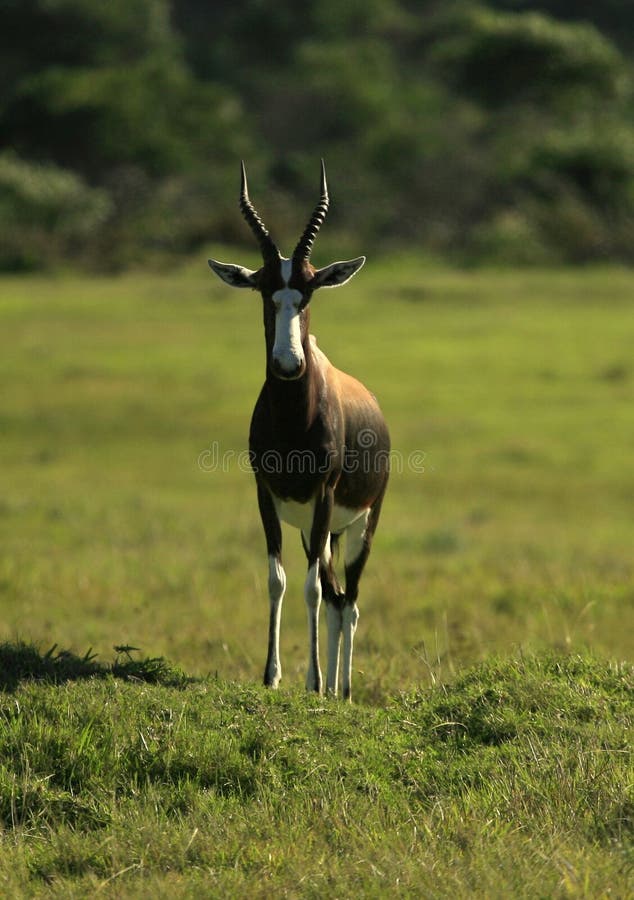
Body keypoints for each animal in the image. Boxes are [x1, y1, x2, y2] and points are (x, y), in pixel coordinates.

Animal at [208, 161, 389, 701]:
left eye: (308, 290)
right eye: (265, 291)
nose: (289, 365)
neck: (293, 421)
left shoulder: (325, 495)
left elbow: (311, 590)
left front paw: (311, 679)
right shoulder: (265, 495)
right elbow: (279, 580)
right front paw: (272, 675)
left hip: (359, 524)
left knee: (349, 600)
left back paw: (341, 689)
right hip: (318, 531)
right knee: (334, 598)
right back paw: (330, 687)